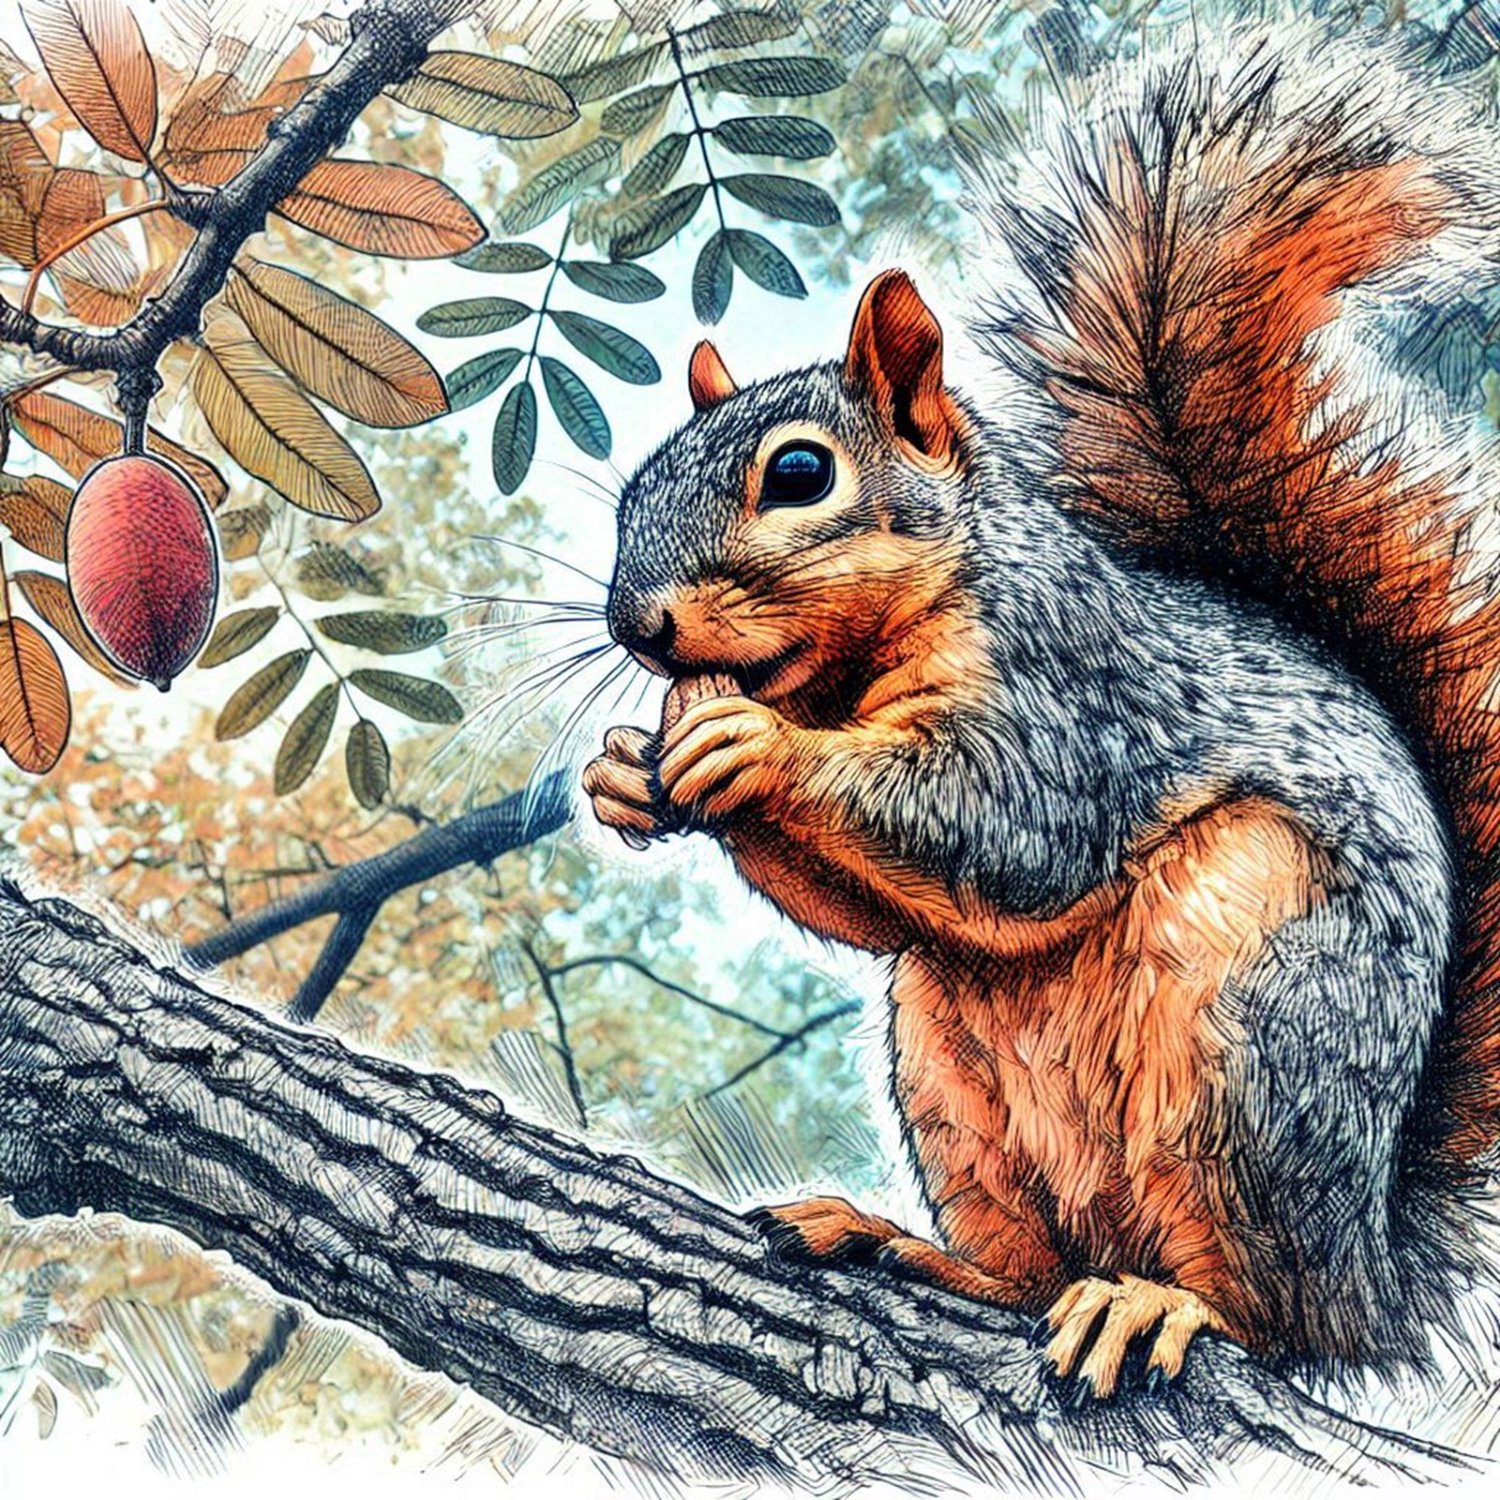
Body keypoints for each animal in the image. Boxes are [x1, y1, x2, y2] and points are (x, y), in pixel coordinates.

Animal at [580, 26, 1500, 1398]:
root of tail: (1371, 1281)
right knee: (1027, 1269)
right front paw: (621, 776)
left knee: (1267, 1316)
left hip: (1248, 1039)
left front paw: (750, 744)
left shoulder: (1072, 696)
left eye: (799, 473)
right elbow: (873, 910)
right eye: (634, 485)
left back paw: (1162, 1305)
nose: (638, 624)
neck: (858, 669)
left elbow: (1007, 830)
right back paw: (902, 1247)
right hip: (950, 1073)